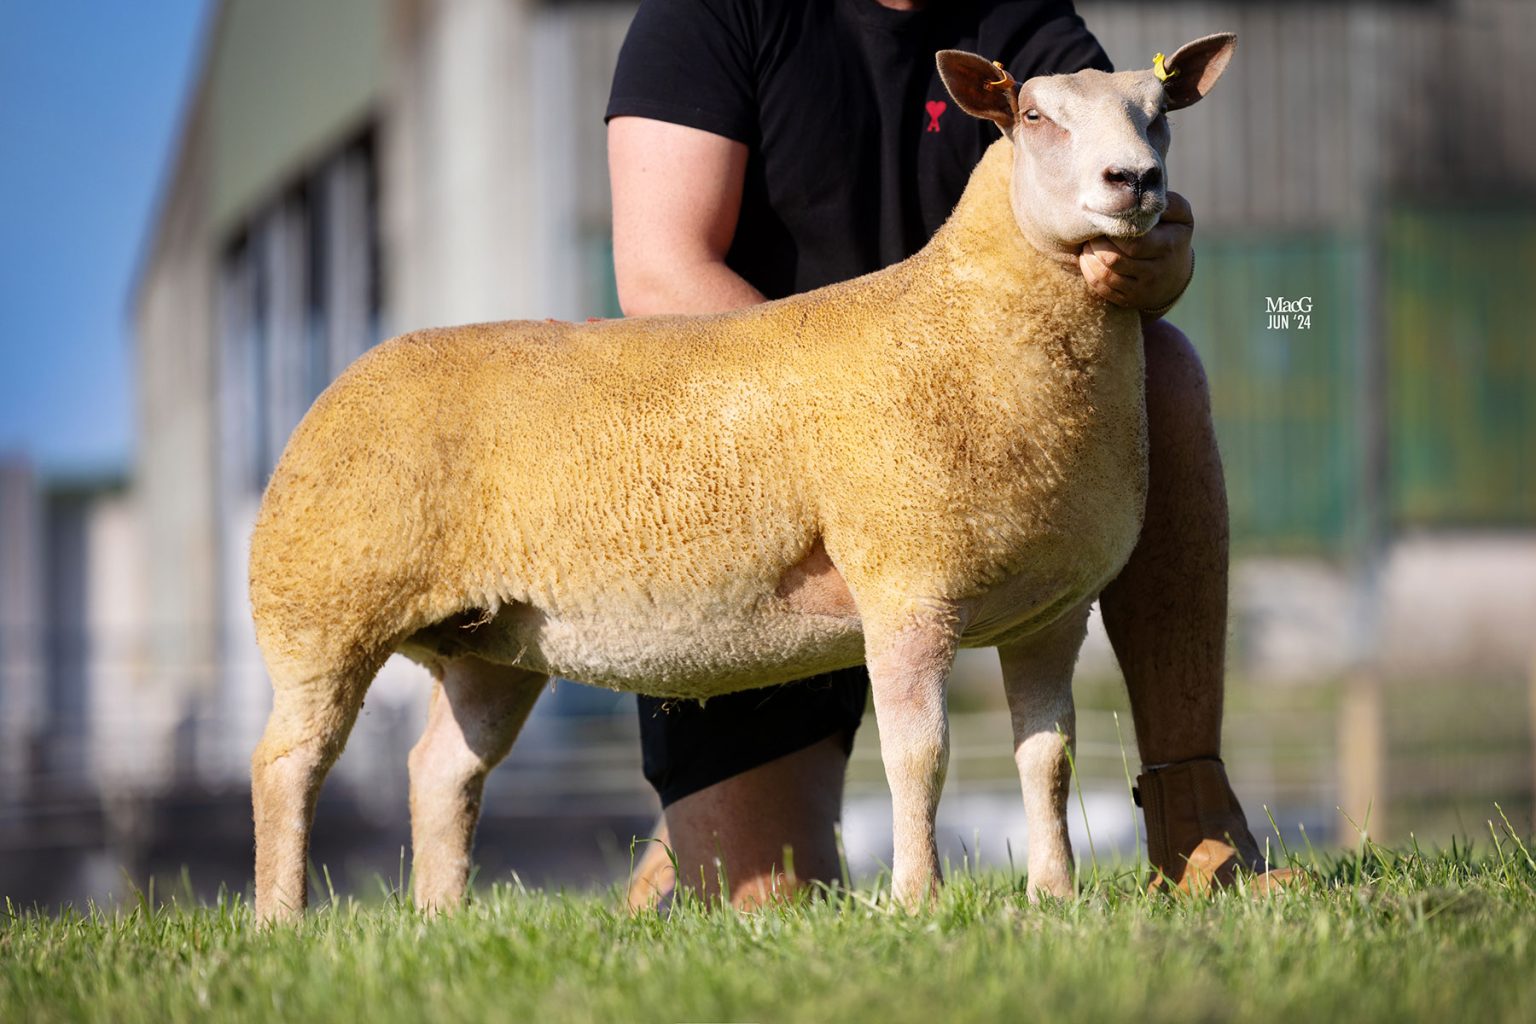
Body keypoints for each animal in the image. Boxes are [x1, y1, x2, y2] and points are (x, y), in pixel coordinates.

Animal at [248, 34, 1238, 923]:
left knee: (441, 773)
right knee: (286, 767)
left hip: (489, 639)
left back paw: (440, 920)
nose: (1135, 182)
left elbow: (1049, 758)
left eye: (1159, 113)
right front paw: (917, 903)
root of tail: (342, 380)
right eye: (1034, 117)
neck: (967, 325)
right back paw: (281, 922)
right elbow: (919, 756)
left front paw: (1055, 898)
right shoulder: (906, 582)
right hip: (323, 605)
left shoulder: (1050, 610)